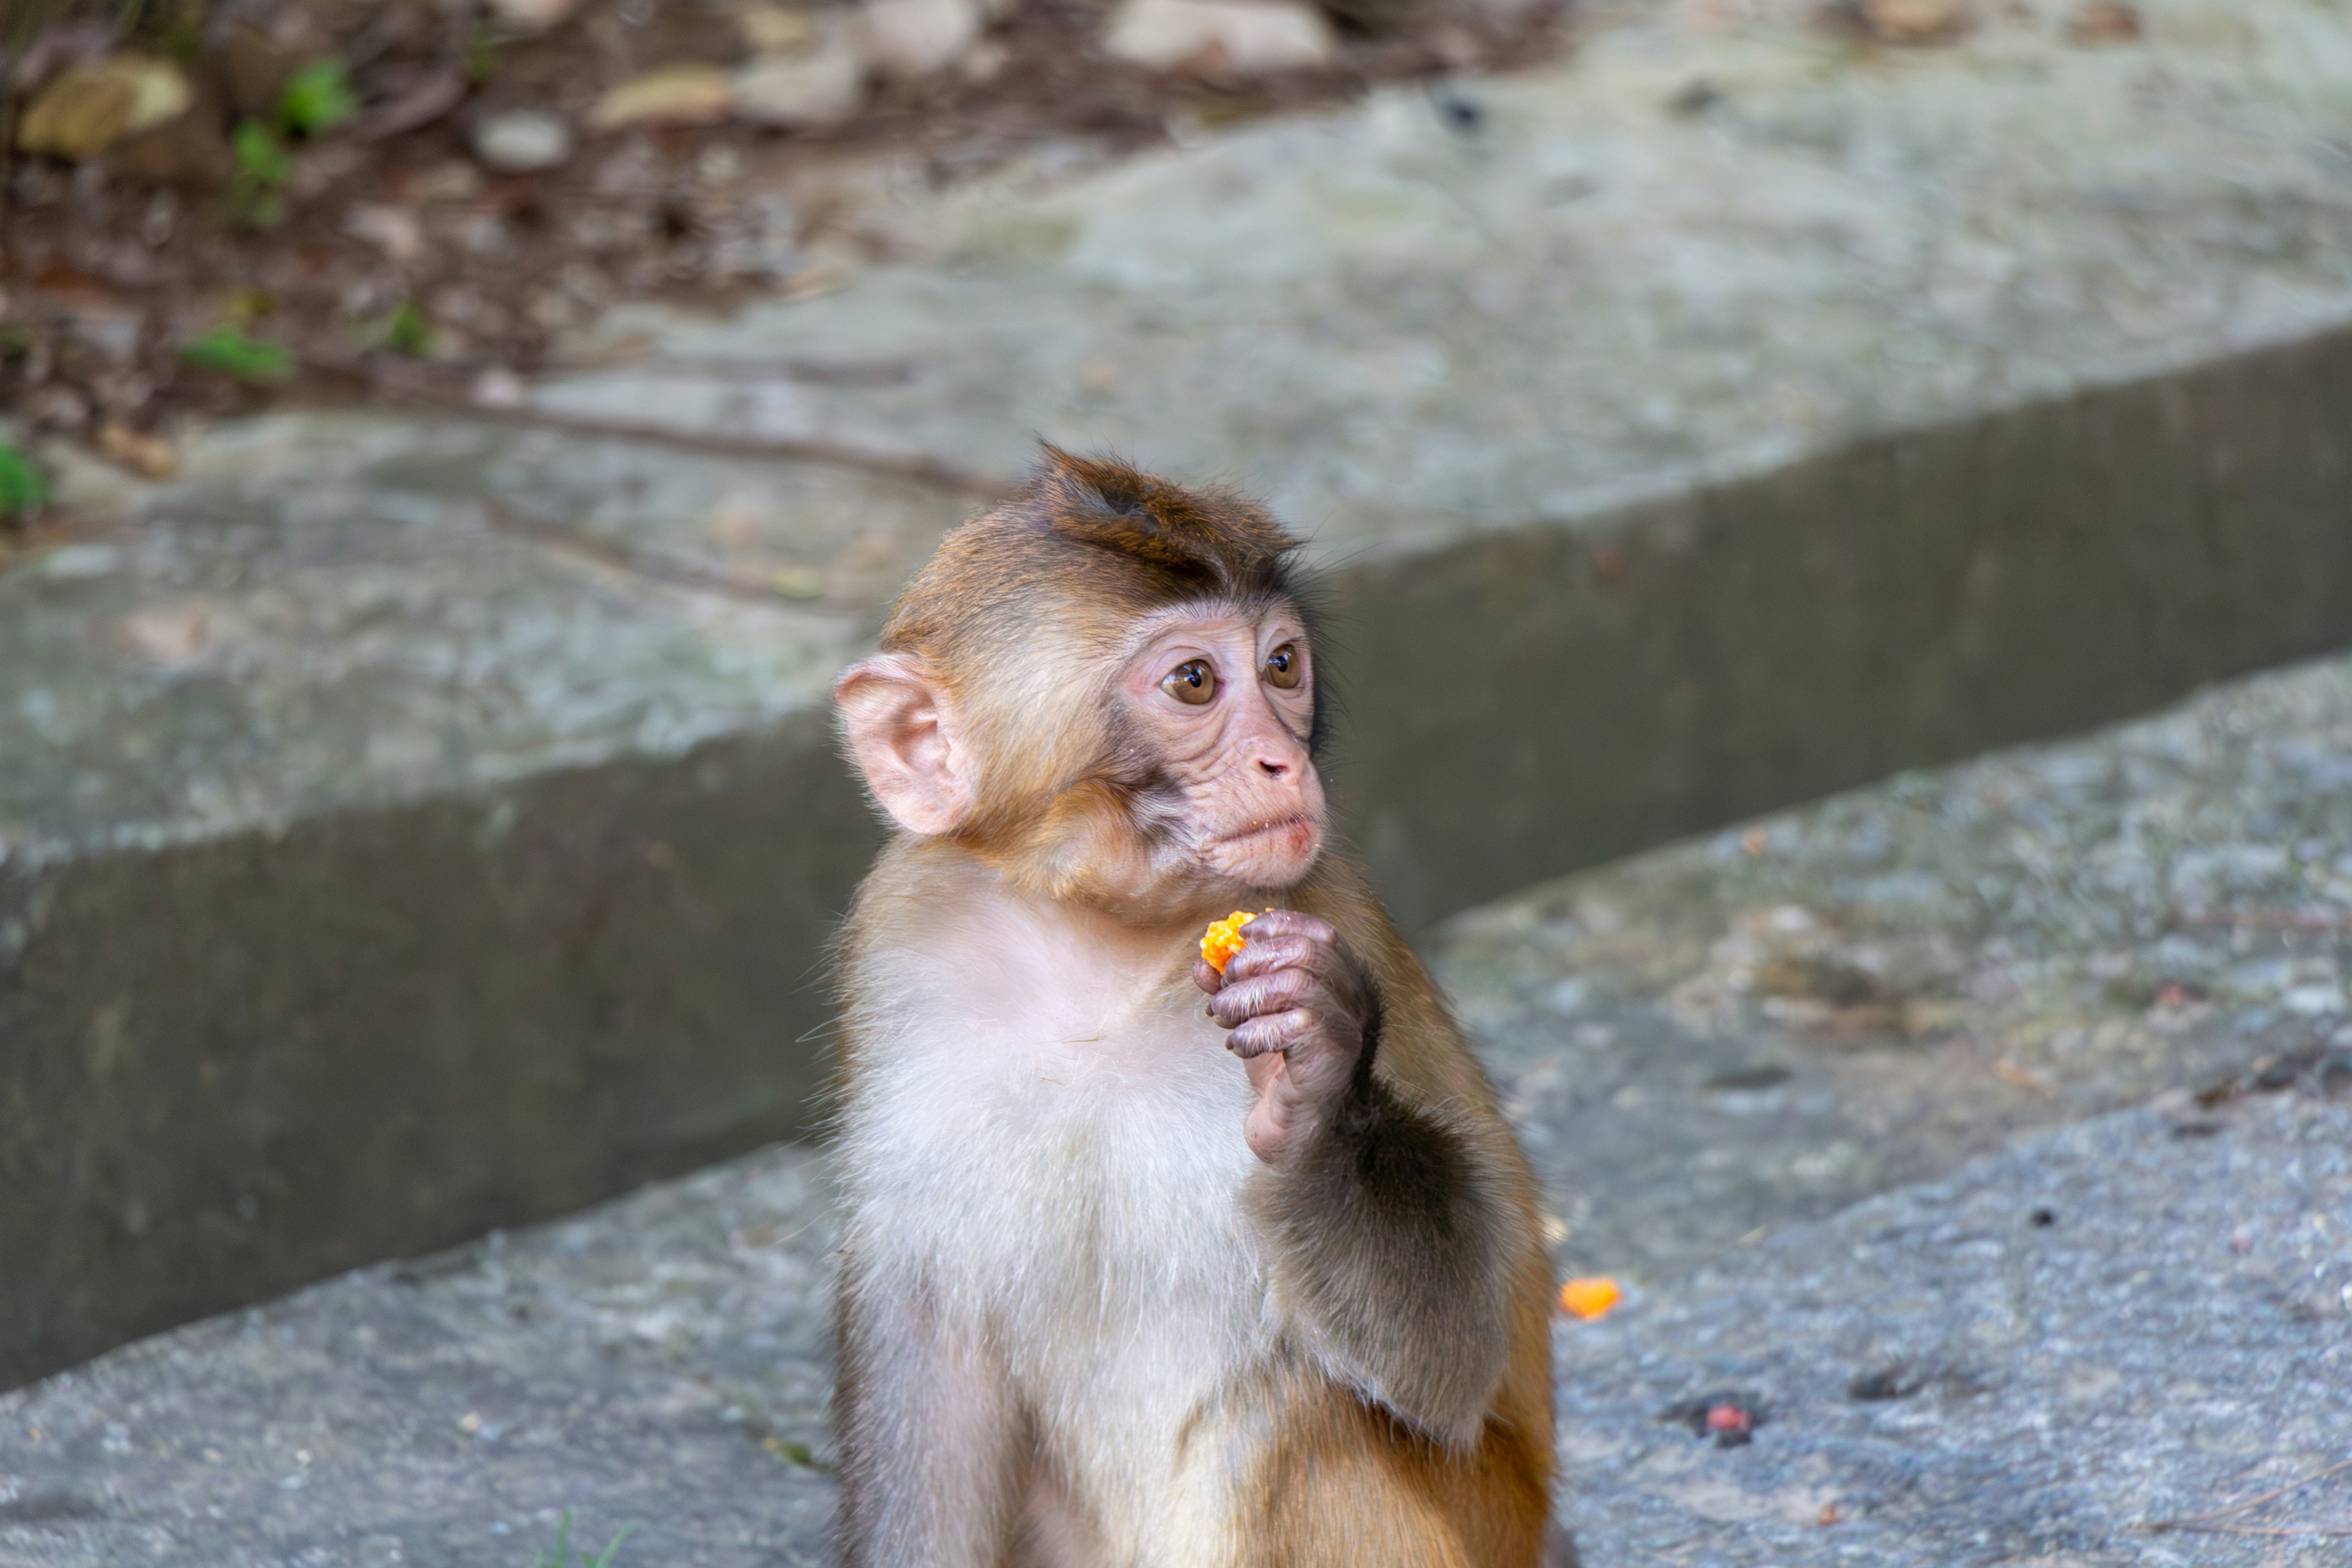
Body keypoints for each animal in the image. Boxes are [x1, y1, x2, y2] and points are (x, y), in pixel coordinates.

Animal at [827, 448, 1571, 1567]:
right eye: (1193, 682)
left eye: (1281, 666)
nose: (1282, 760)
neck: (1096, 957)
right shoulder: (910, 942)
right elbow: (926, 1353)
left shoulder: (1326, 910)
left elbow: (1450, 1364)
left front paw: (1320, 1096)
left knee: (1285, 1419)